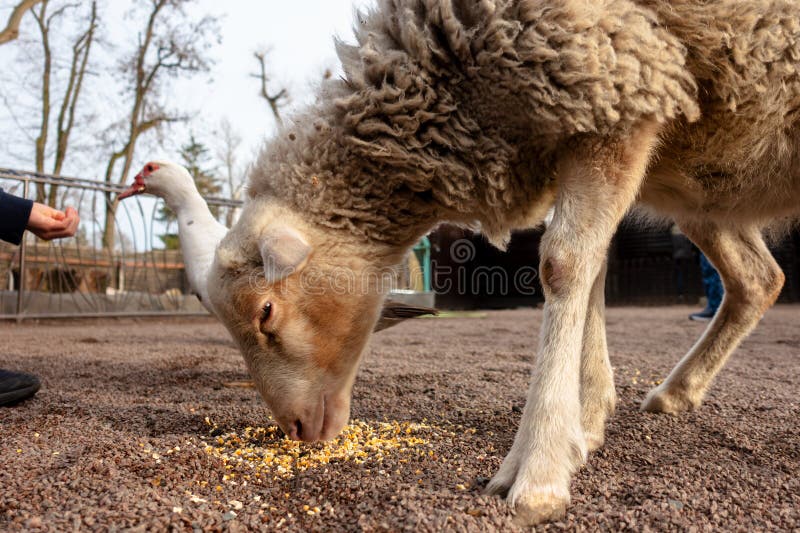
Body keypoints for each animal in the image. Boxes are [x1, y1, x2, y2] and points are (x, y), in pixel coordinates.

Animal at [207, 0, 800, 524]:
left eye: (265, 312)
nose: (295, 430)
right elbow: (591, 271)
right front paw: (584, 424)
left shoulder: (617, 81)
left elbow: (564, 265)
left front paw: (539, 469)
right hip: (705, 187)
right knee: (760, 278)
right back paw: (678, 391)